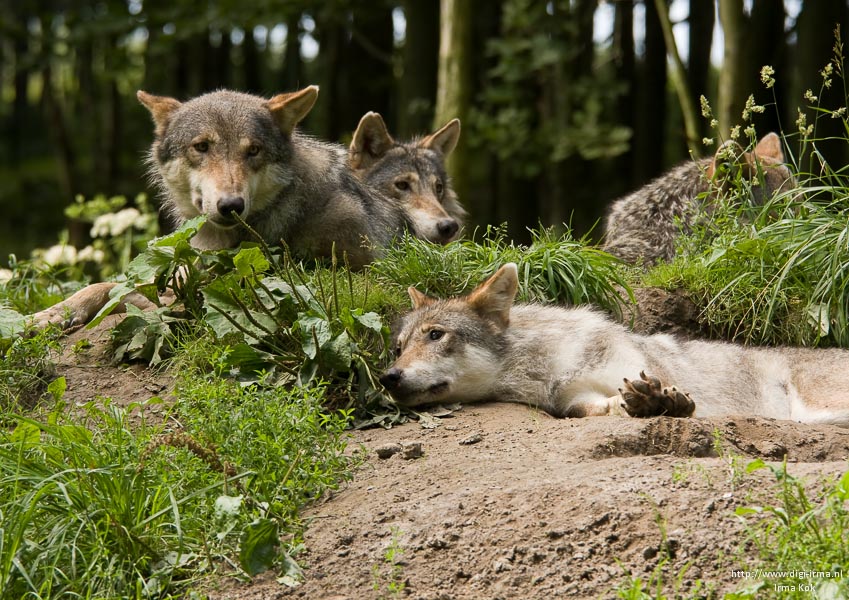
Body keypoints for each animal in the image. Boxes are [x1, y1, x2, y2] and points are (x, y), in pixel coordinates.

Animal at [380, 263, 849, 427]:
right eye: (398, 347)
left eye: (436, 335)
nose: (388, 378)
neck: (552, 366)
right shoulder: (574, 399)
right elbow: (598, 407)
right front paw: (644, 404)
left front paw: (667, 401)